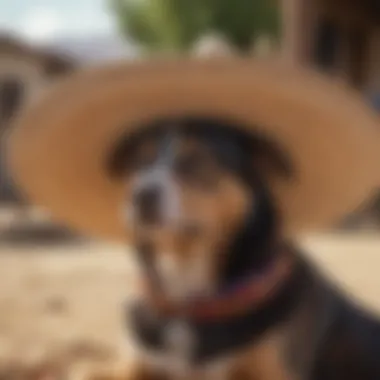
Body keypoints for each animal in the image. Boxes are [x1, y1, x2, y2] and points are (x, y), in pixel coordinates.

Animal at [105, 116, 380, 380]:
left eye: (197, 160)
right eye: (140, 162)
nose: (140, 195)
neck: (190, 301)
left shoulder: (276, 372)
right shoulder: (135, 364)